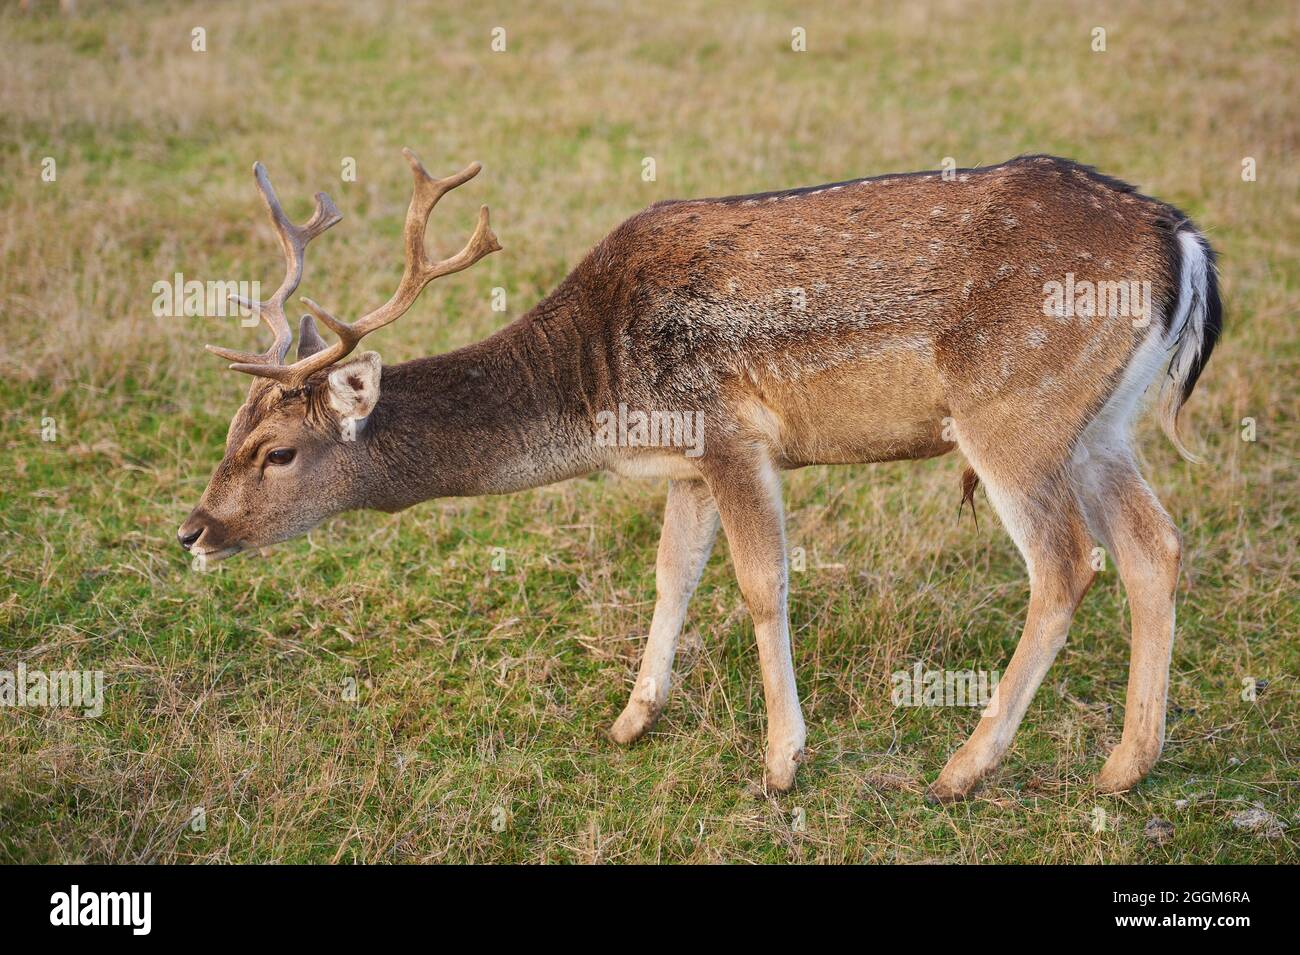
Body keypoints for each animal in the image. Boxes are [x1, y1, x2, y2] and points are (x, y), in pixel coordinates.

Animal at [179, 149, 1222, 799]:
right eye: (231, 428)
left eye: (278, 451)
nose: (193, 527)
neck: (599, 389)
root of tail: (1183, 243)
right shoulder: (685, 464)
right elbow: (671, 574)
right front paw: (630, 720)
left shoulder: (728, 433)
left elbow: (761, 582)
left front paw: (781, 763)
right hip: (1100, 425)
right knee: (1155, 545)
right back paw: (1126, 766)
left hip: (1013, 412)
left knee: (1066, 563)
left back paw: (962, 771)